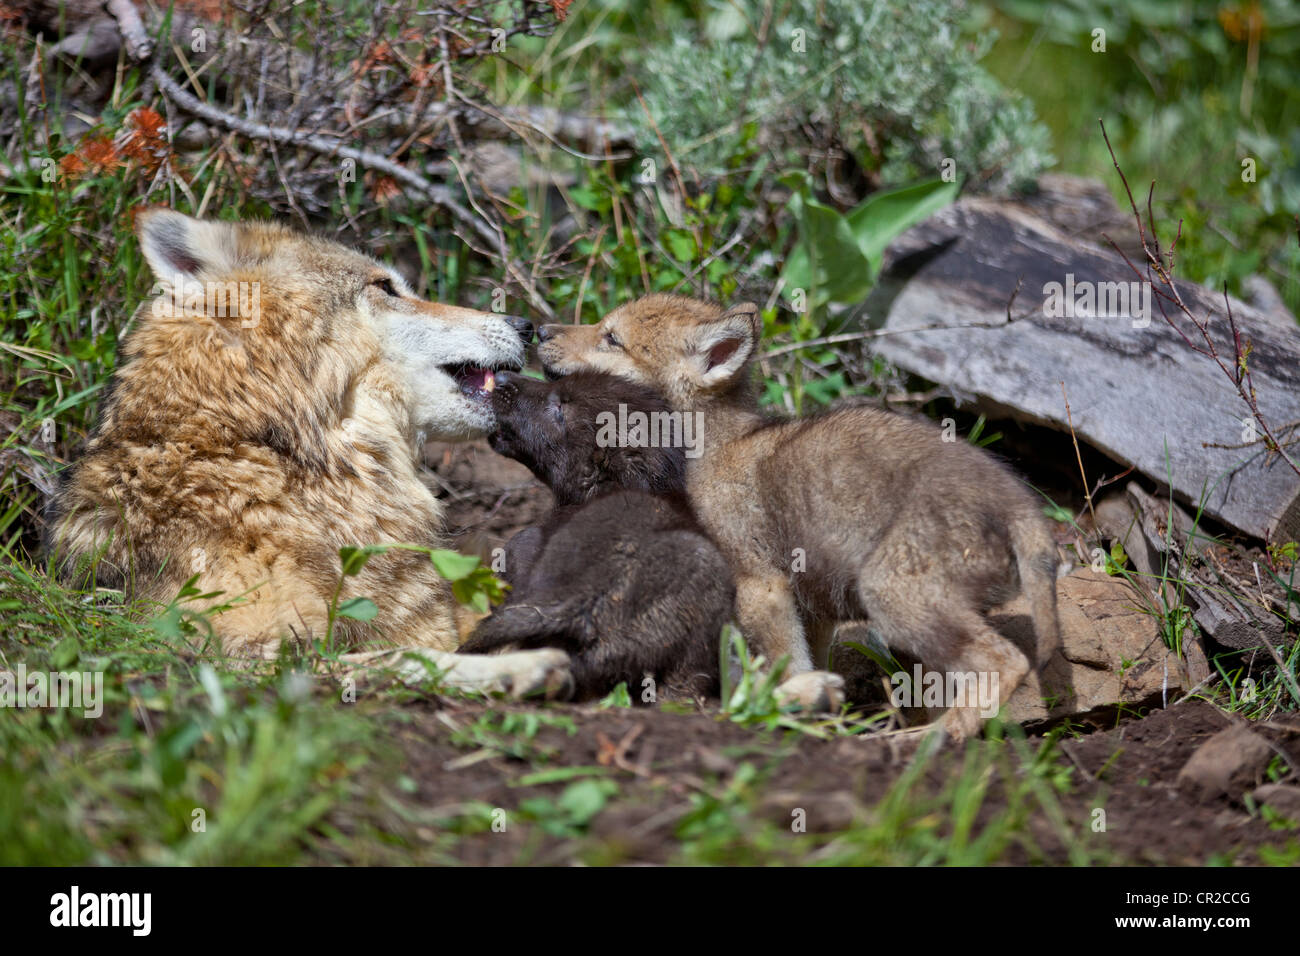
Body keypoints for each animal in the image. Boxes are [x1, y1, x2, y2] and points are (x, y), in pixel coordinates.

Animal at [536, 294, 1061, 736]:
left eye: (611, 338)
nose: (539, 330)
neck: (711, 445)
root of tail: (1019, 505)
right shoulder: (814, 606)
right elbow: (813, 663)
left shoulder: (760, 585)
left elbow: (786, 665)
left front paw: (791, 710)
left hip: (892, 596)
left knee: (1005, 661)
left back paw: (927, 742)